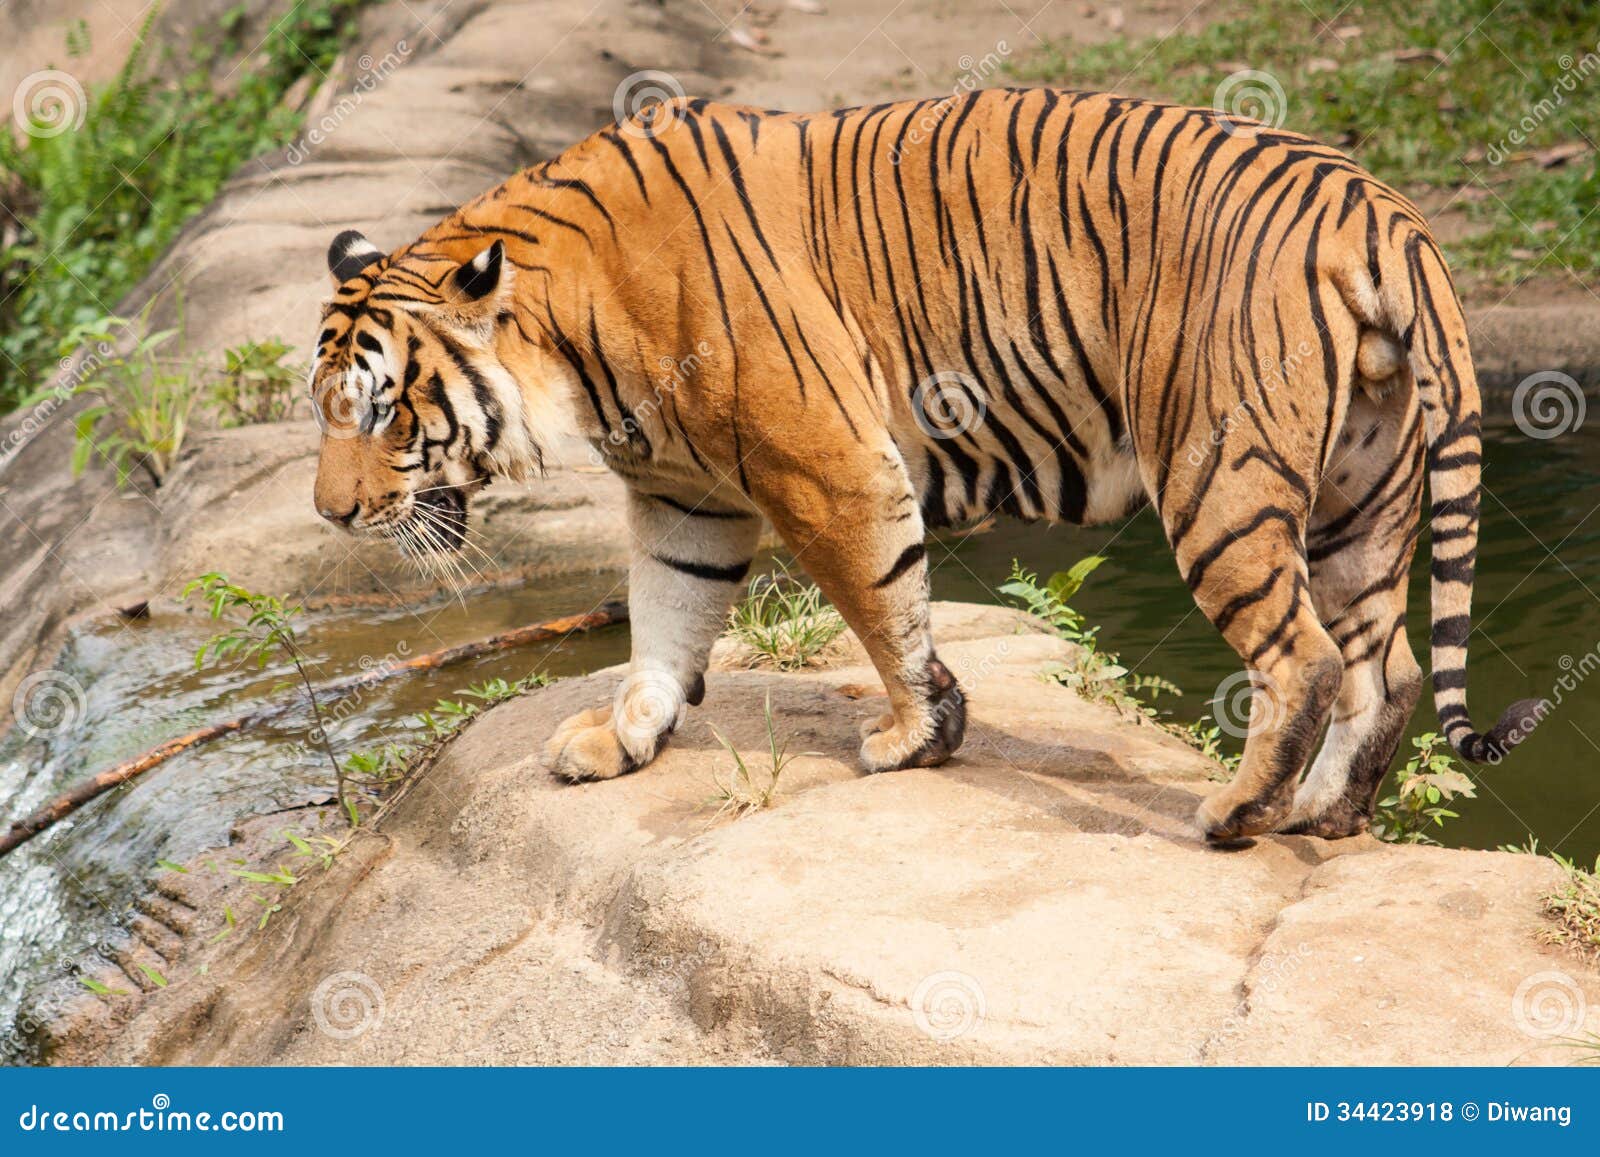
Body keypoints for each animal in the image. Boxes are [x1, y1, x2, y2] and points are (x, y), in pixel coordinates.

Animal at [309, 86, 1544, 844]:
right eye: (323, 413)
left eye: (380, 411)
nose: (330, 515)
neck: (571, 338)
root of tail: (1377, 207)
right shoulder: (682, 496)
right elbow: (663, 617)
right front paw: (625, 735)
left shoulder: (822, 465)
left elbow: (879, 603)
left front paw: (913, 736)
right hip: (1360, 495)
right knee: (1385, 668)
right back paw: (1319, 818)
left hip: (1218, 475)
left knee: (1306, 660)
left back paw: (1234, 815)